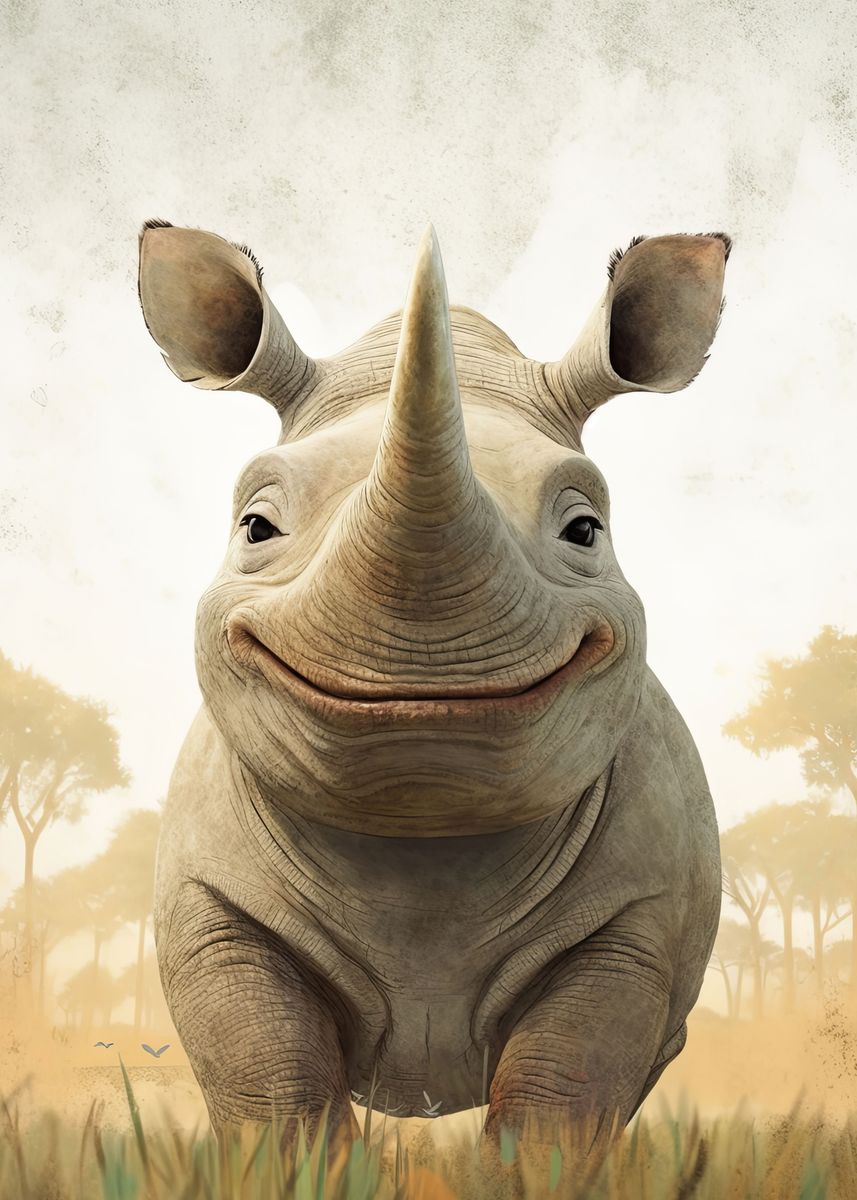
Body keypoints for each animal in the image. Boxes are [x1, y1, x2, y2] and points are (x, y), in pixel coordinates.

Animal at [138, 220, 725, 1153]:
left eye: (585, 531)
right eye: (255, 528)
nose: (417, 664)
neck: (421, 838)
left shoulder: (632, 917)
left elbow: (561, 1098)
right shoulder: (215, 904)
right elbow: (275, 1091)